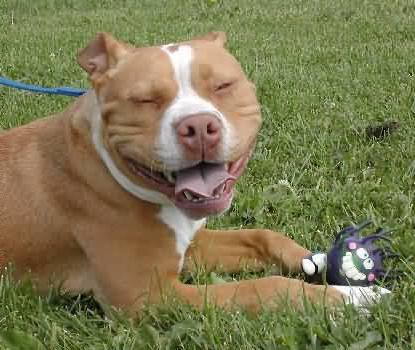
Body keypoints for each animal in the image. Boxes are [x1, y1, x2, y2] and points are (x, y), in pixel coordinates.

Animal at [0, 32, 390, 316]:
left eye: (223, 86)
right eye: (145, 100)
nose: (199, 126)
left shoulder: (188, 243)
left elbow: (261, 235)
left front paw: (318, 260)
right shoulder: (148, 296)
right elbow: (262, 286)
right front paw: (351, 297)